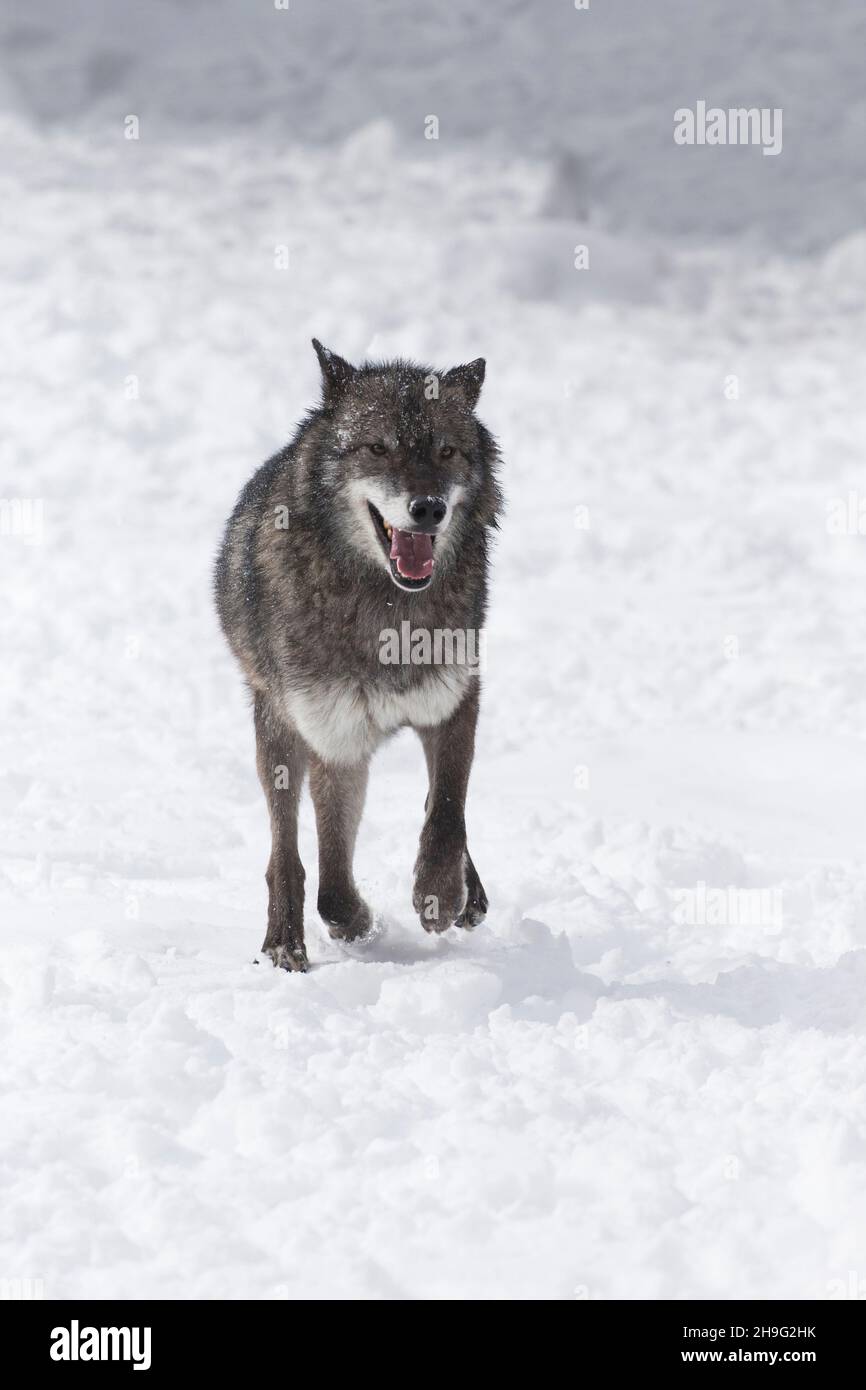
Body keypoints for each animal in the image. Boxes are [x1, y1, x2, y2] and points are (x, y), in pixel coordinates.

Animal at [215, 340, 502, 971]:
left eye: (446, 451)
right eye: (378, 447)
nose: (428, 507)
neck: (388, 606)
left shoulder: (454, 701)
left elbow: (446, 812)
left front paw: (439, 896)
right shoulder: (336, 740)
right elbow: (331, 883)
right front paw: (356, 924)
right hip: (278, 730)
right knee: (285, 852)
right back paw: (284, 941)